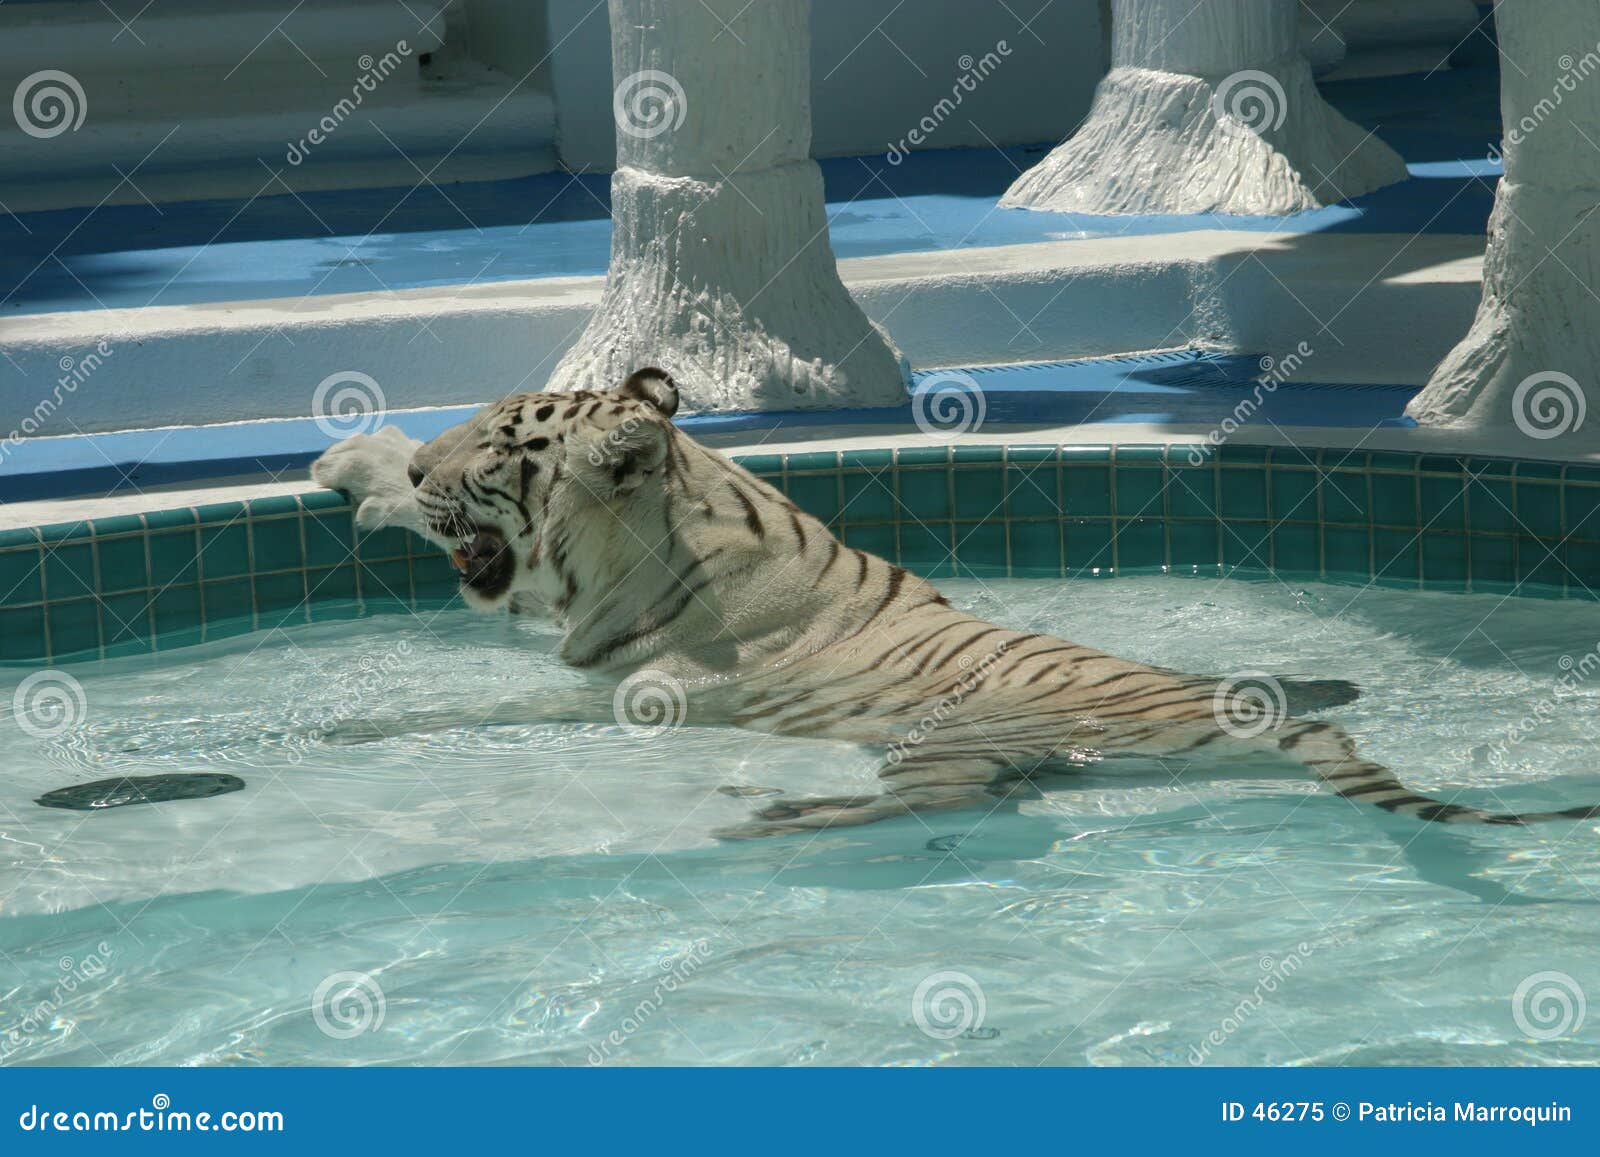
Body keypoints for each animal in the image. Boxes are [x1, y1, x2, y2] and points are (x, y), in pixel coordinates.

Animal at [310, 368, 1600, 839]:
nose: (427, 462)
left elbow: (460, 717)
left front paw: (339, 730)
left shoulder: (618, 686)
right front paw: (361, 465)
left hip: (946, 739)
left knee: (949, 801)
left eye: (502, 447)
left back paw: (779, 817)